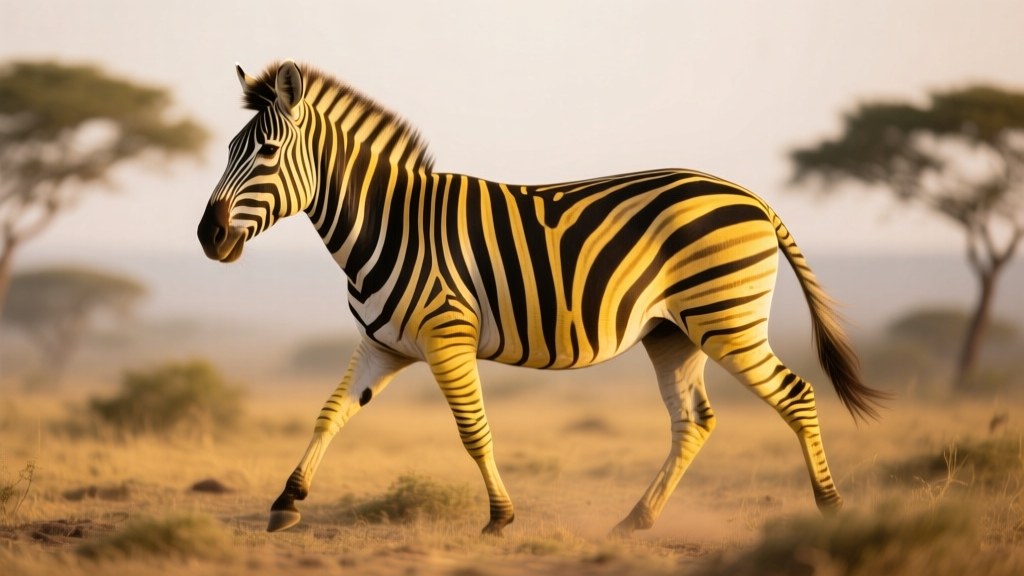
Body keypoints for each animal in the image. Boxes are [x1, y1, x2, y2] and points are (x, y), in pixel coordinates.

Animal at [197, 60, 888, 537]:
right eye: (229, 150)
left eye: (266, 152)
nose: (207, 235)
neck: (389, 224)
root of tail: (753, 197)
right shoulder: (382, 344)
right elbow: (330, 413)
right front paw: (286, 502)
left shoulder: (448, 337)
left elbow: (473, 430)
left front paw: (501, 517)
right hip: (674, 331)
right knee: (693, 421)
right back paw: (634, 522)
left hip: (726, 319)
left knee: (796, 395)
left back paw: (831, 510)